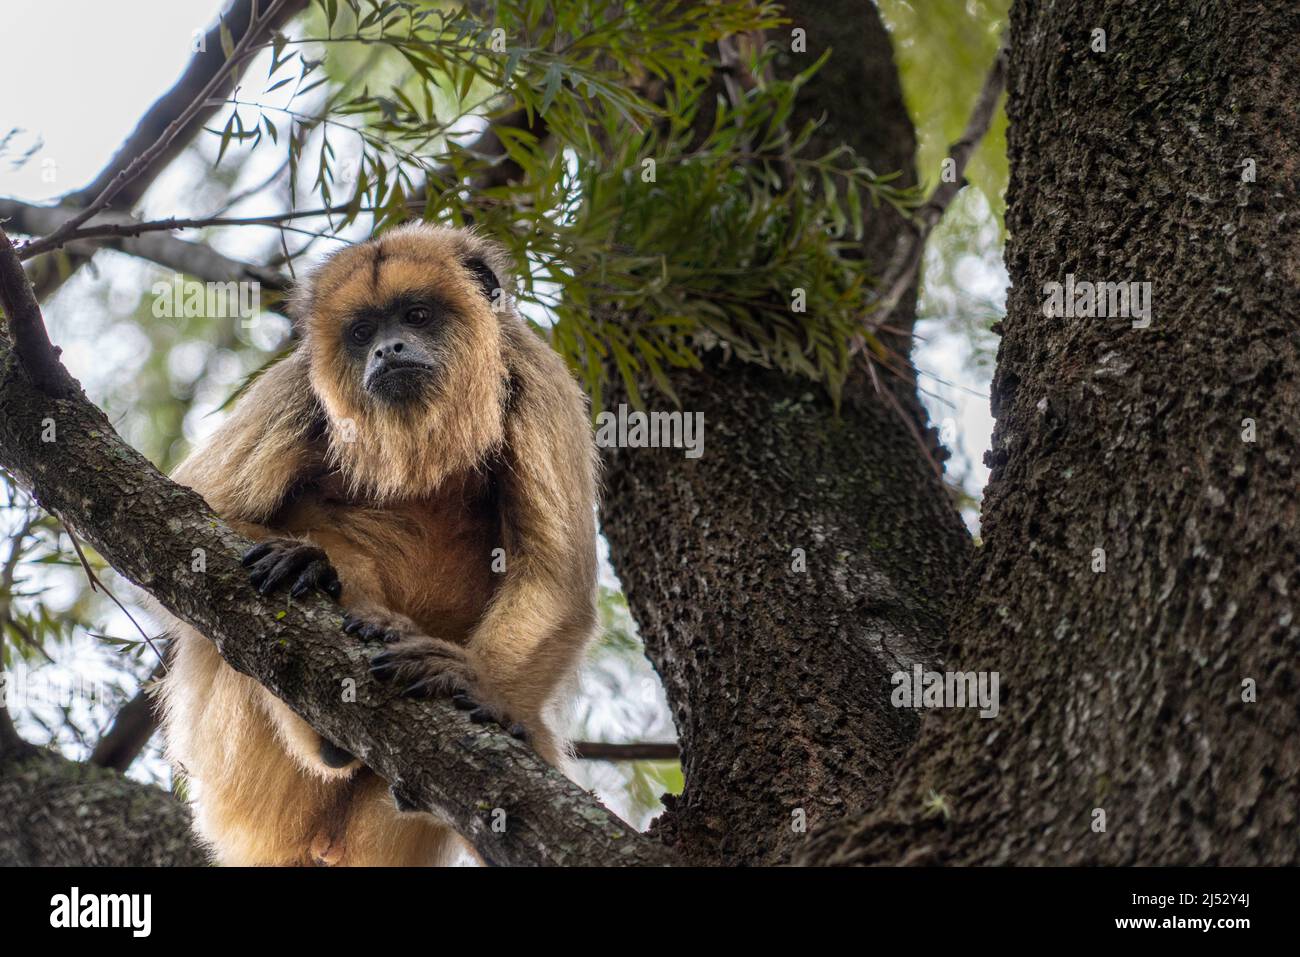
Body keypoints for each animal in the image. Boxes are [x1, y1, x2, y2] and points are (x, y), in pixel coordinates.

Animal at [151, 224, 599, 866]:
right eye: (362, 333)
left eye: (417, 315)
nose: (388, 350)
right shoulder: (299, 384)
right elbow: (185, 520)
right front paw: (305, 559)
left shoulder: (537, 370)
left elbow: (555, 576)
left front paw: (473, 680)